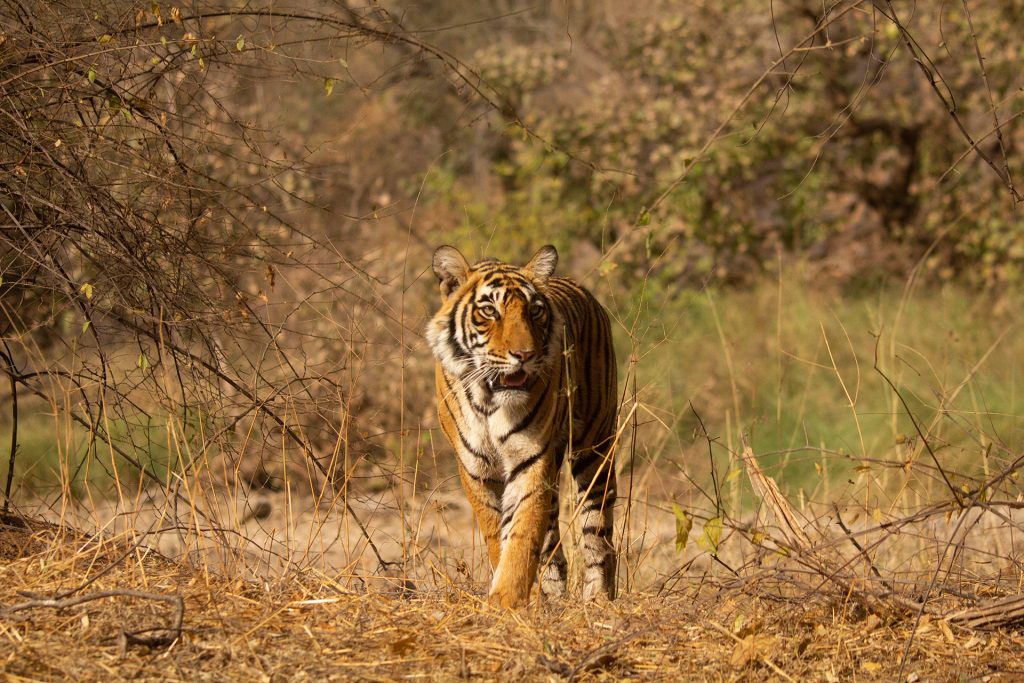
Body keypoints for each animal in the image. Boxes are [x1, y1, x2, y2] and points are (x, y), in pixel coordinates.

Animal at [426, 244, 618, 607]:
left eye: (535, 311)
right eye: (490, 311)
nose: (525, 355)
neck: (490, 401)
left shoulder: (531, 459)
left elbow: (522, 534)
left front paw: (506, 601)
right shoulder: (476, 467)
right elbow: (497, 533)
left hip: (595, 447)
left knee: (597, 534)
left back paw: (599, 597)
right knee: (553, 544)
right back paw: (552, 596)